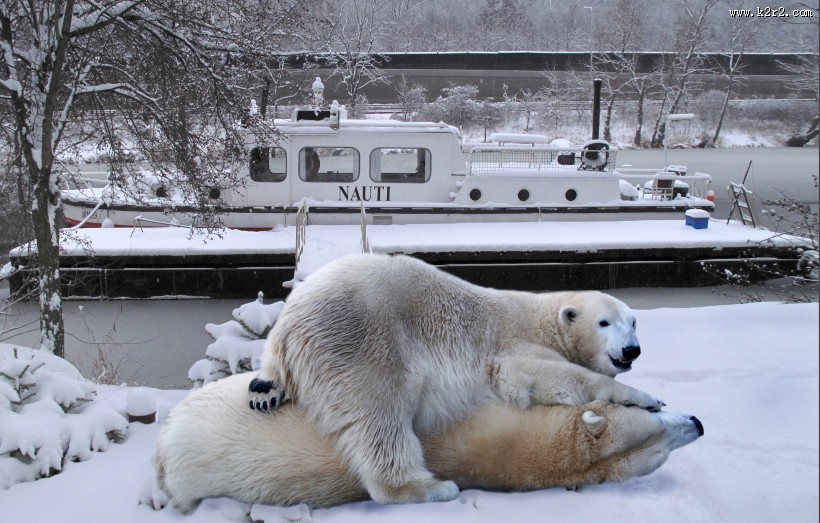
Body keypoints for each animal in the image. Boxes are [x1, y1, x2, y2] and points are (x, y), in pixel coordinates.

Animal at [247, 253, 664, 504]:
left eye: (633, 321)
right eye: (604, 322)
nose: (632, 350)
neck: (542, 318)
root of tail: (289, 321)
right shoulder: (511, 343)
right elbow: (543, 374)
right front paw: (644, 398)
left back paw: (265, 390)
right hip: (362, 340)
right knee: (379, 415)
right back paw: (431, 487)